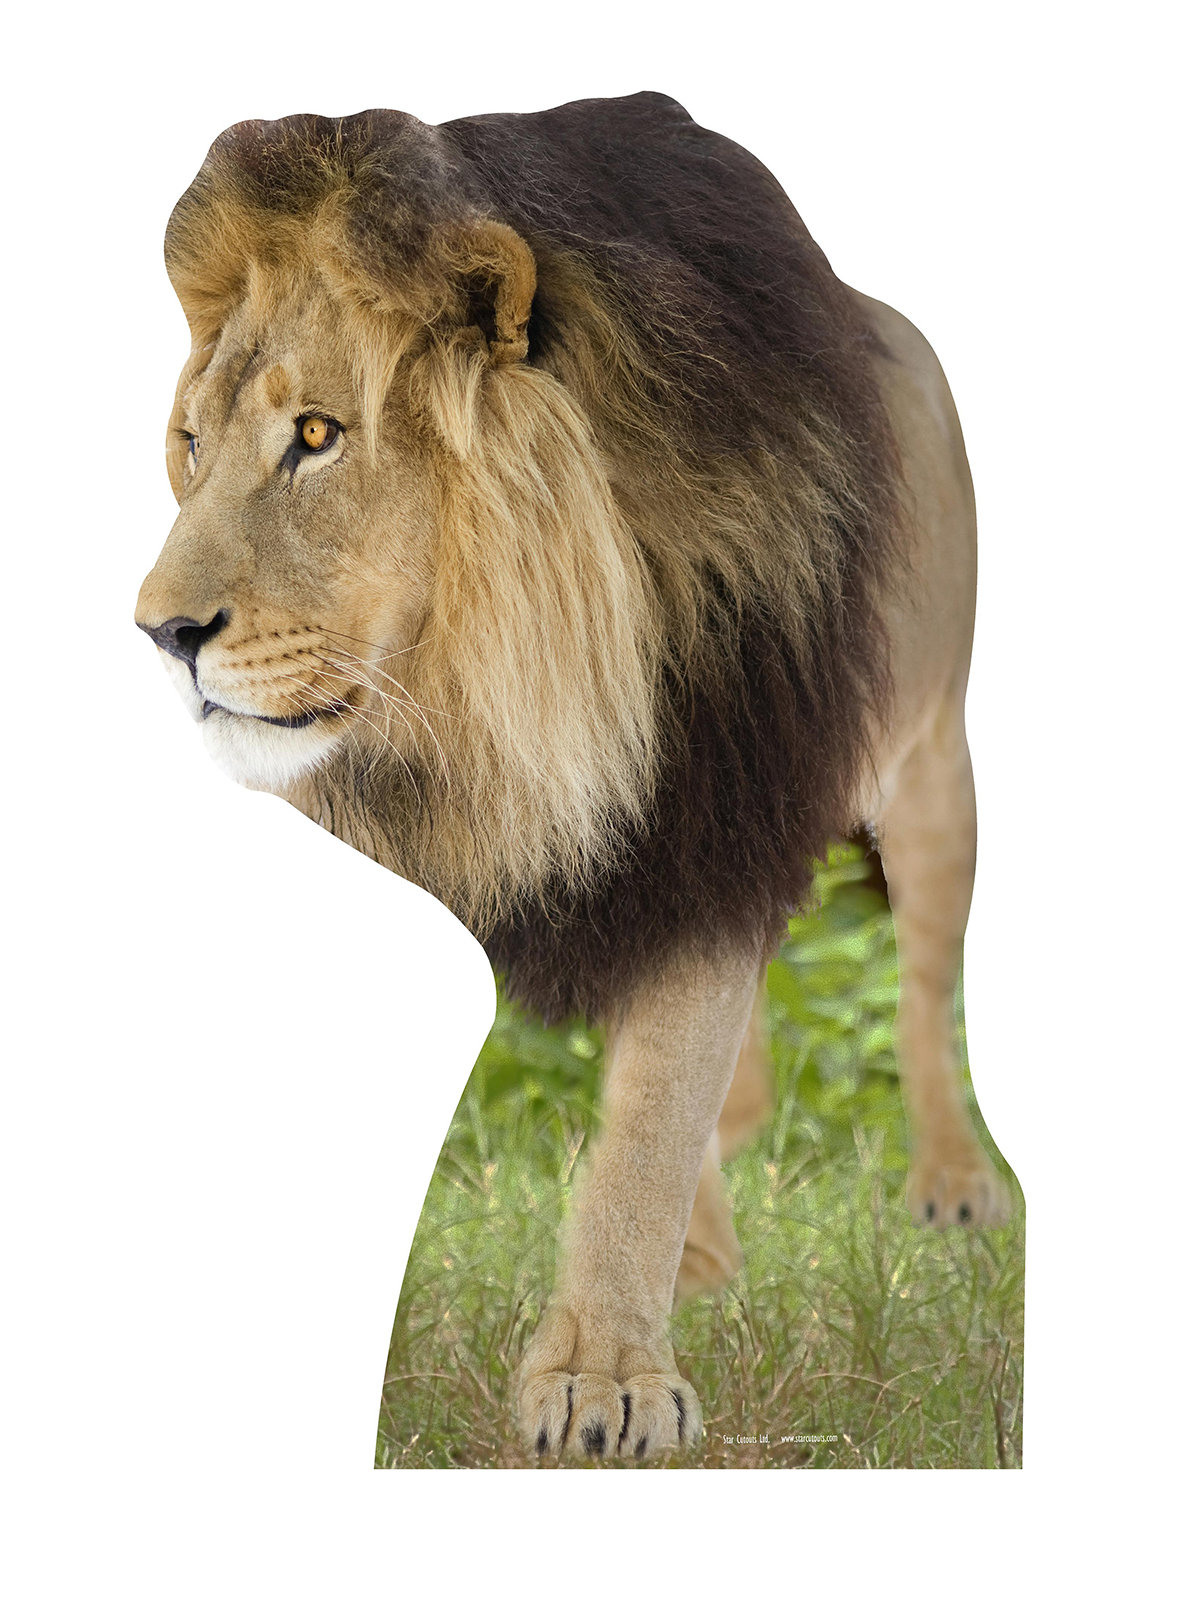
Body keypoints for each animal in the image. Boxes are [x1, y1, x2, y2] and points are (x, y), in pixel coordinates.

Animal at [135, 93, 1011, 1461]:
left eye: (317, 436)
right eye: (190, 443)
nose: (160, 633)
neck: (497, 700)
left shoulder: (718, 786)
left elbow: (650, 1115)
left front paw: (605, 1377)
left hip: (932, 766)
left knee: (923, 981)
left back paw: (952, 1183)